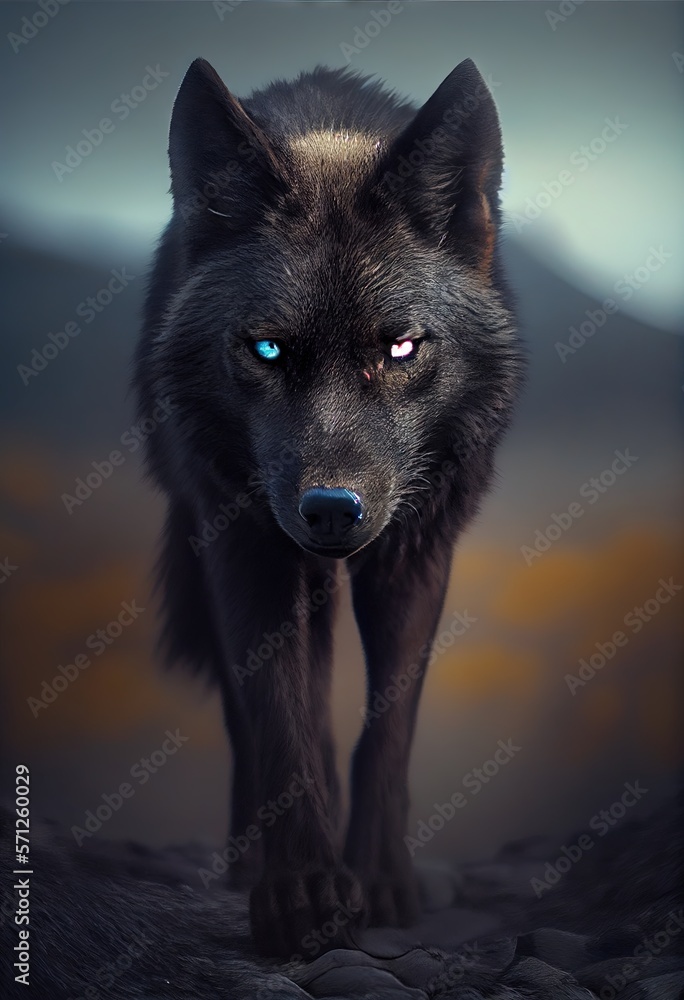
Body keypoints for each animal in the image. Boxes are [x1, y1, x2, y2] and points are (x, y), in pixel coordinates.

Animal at [134, 57, 524, 957]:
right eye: (268, 348)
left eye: (401, 347)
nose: (332, 510)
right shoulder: (246, 545)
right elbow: (283, 716)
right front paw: (301, 894)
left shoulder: (416, 550)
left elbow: (389, 726)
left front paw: (379, 883)